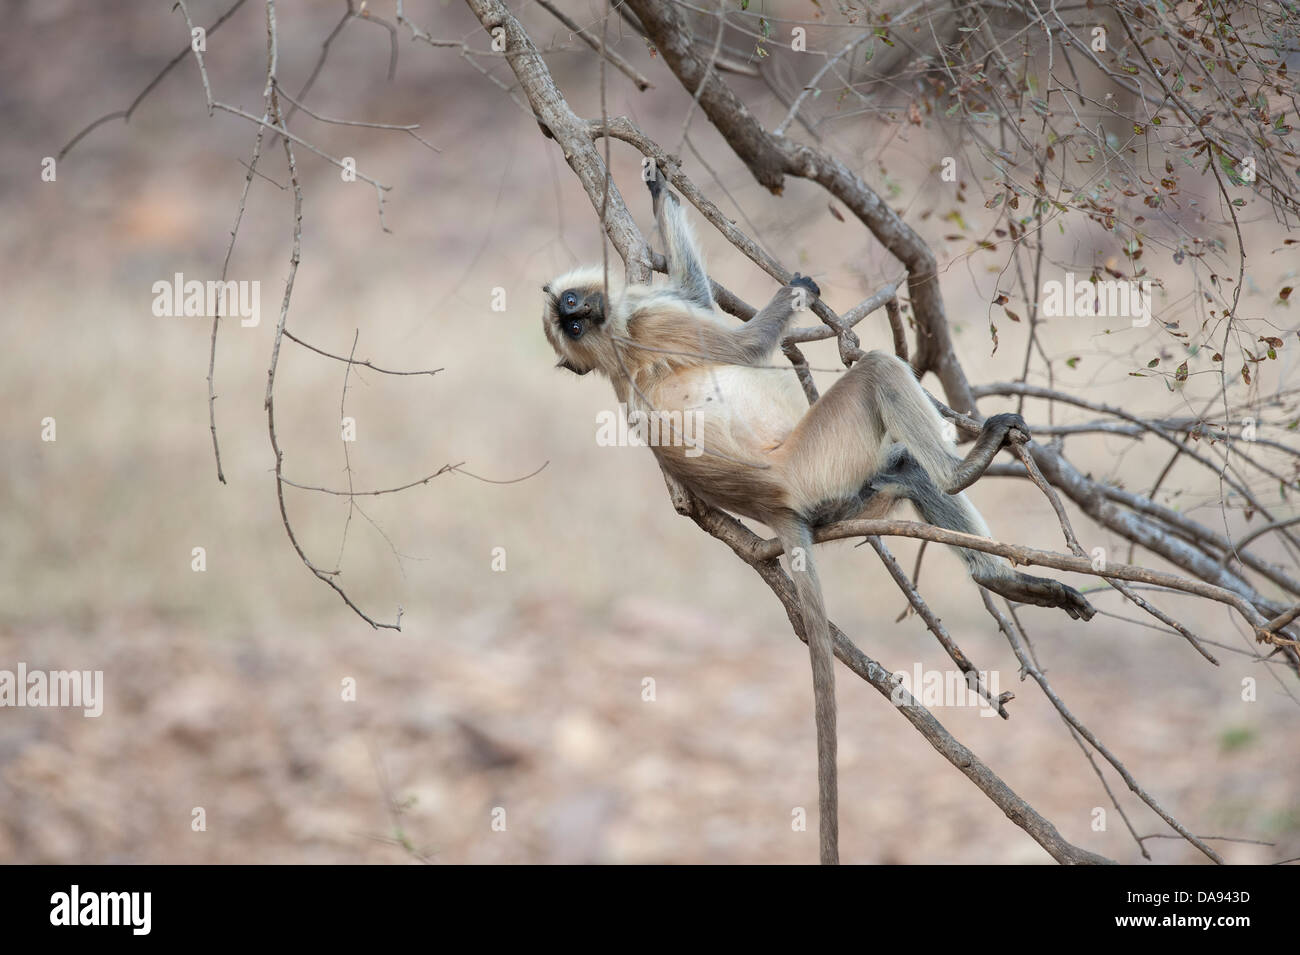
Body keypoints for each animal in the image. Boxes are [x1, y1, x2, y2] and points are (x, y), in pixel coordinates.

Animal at [540, 167, 1095, 864]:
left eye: (571, 313)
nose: (574, 312)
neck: (613, 334)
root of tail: (775, 501)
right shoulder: (650, 323)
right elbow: (748, 343)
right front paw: (798, 291)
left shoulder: (645, 307)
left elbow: (694, 288)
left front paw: (658, 184)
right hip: (822, 457)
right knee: (878, 375)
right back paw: (964, 467)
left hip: (849, 490)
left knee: (908, 470)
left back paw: (1005, 579)